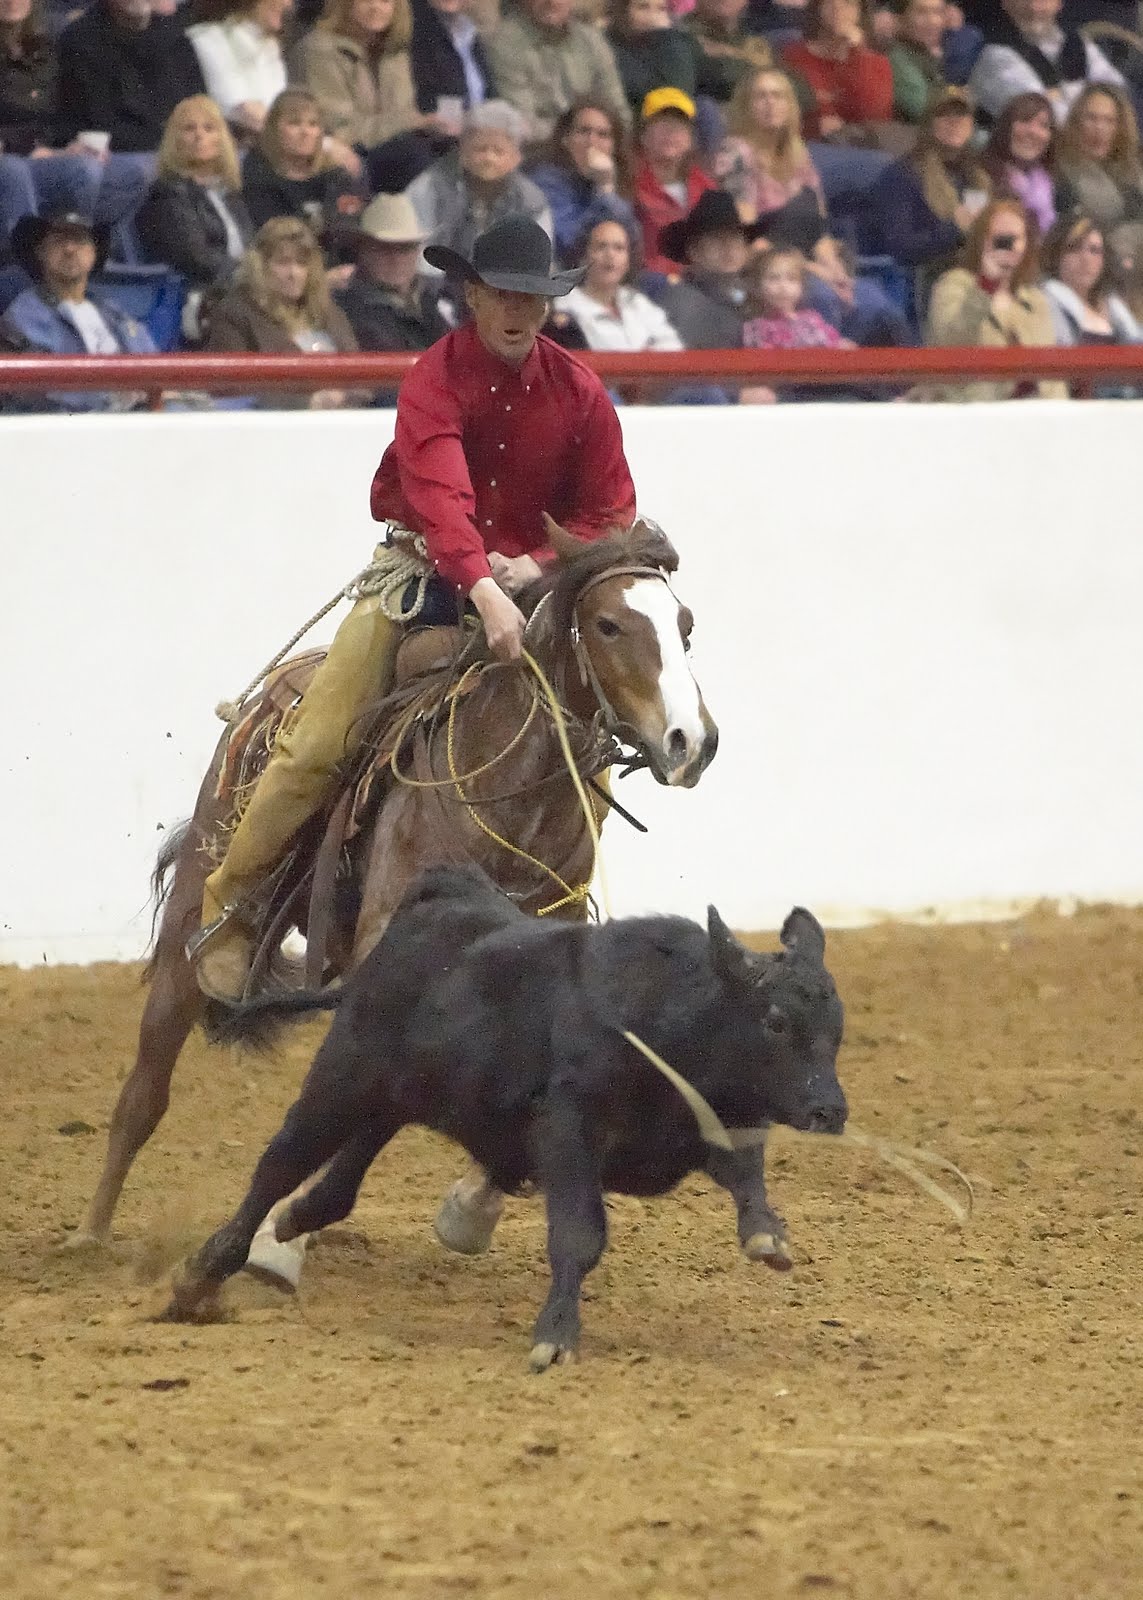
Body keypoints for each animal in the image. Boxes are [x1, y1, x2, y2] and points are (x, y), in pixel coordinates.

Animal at [68, 516, 719, 1254]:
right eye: (608, 625)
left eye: (685, 626)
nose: (692, 741)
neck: (510, 798)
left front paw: (468, 1211)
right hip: (199, 899)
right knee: (147, 1087)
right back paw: (91, 1234)